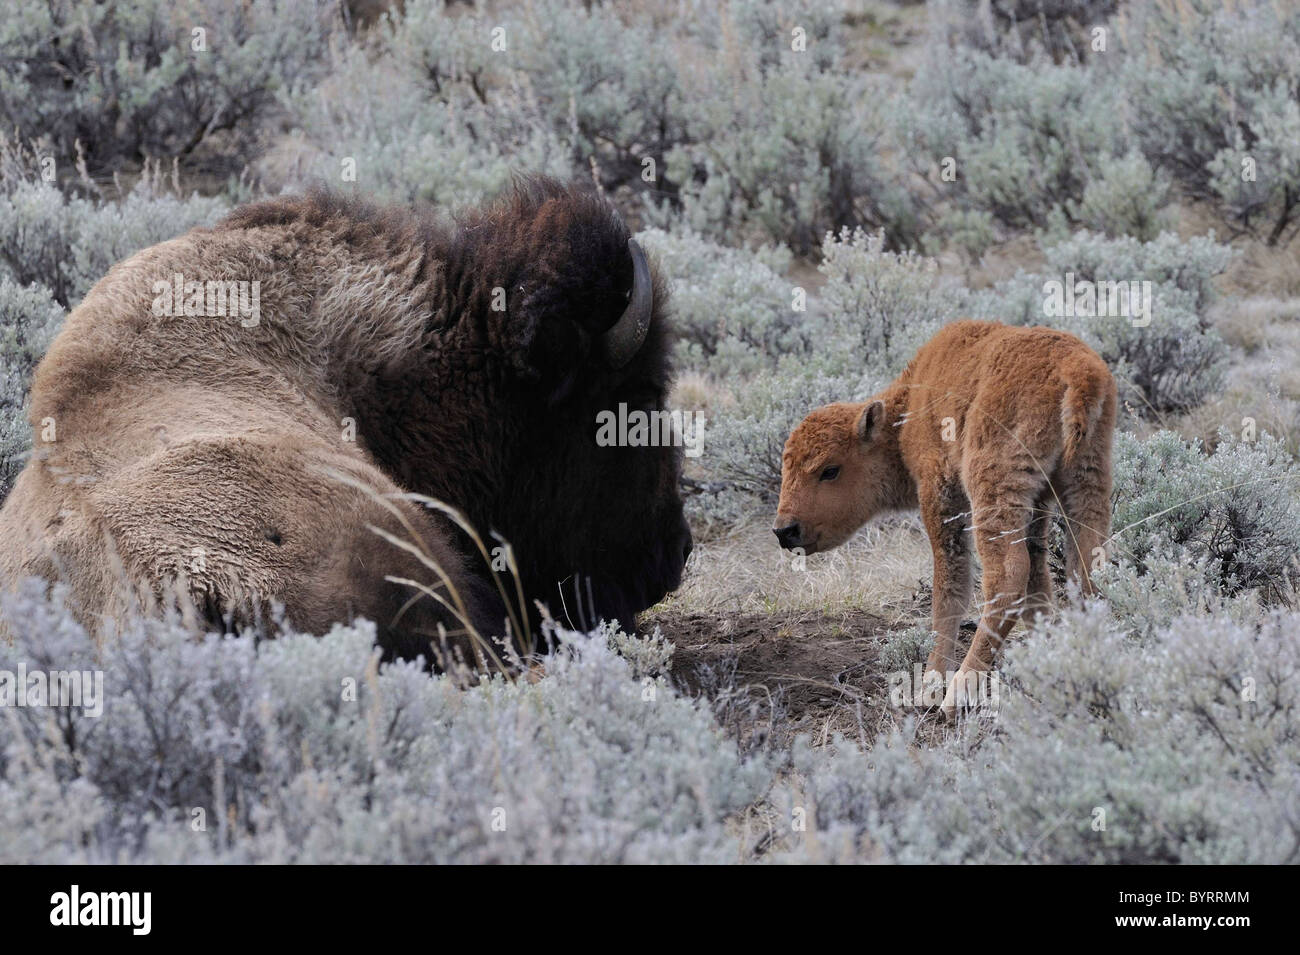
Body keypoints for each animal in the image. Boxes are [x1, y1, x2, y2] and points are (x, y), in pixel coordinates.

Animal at [773, 320, 1116, 714]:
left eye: (829, 470)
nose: (785, 530)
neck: (907, 409)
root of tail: (1076, 368)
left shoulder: (939, 495)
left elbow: (948, 588)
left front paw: (930, 684)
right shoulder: (1038, 505)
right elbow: (1039, 585)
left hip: (992, 486)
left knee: (1007, 576)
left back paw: (959, 691)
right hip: (1086, 480)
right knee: (1086, 566)